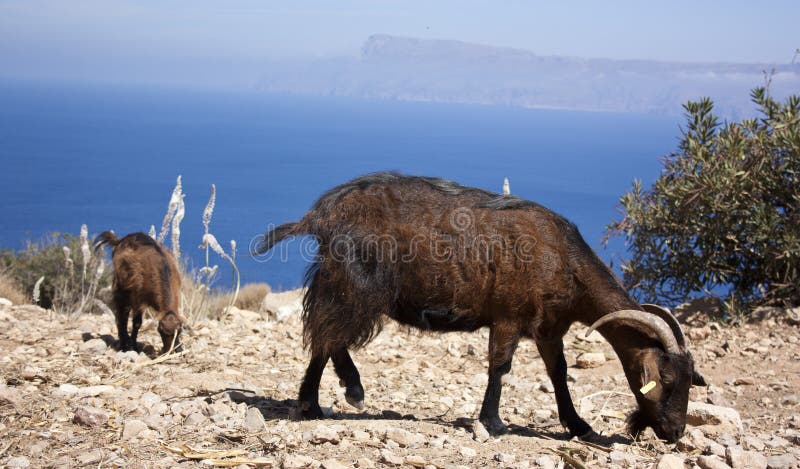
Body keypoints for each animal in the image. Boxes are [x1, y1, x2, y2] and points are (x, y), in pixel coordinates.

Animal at [256, 172, 706, 443]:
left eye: (691, 380)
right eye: (666, 377)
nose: (675, 432)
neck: (562, 257)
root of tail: (321, 215)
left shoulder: (548, 329)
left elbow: (559, 374)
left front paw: (578, 425)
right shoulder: (508, 317)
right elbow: (500, 367)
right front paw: (492, 421)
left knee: (326, 338)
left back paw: (322, 399)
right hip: (352, 285)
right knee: (327, 334)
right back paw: (340, 394)